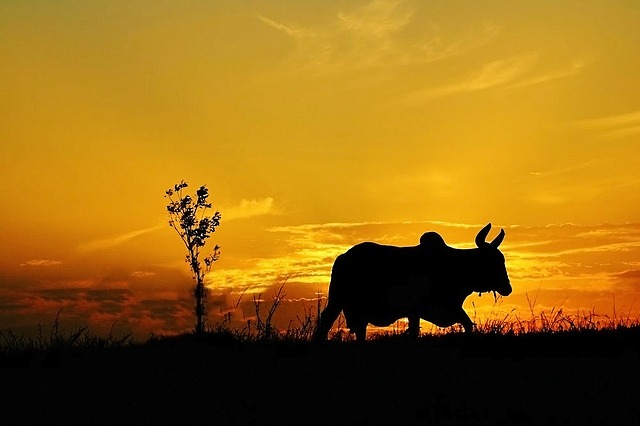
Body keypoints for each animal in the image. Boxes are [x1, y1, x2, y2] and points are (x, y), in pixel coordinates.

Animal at [312, 223, 511, 341]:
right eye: (493, 261)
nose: (507, 288)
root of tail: (343, 257)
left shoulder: (452, 309)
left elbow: (468, 324)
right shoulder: (415, 310)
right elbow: (414, 331)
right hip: (338, 301)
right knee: (327, 321)